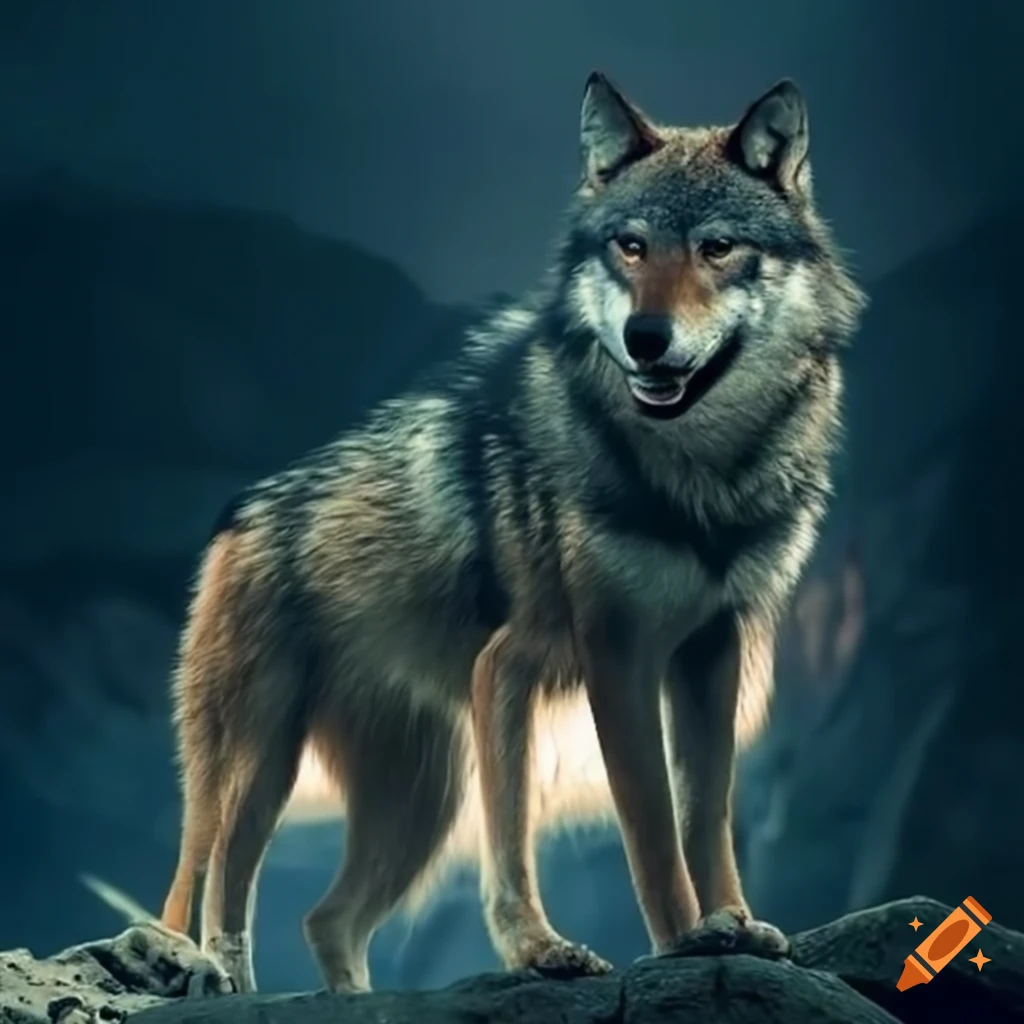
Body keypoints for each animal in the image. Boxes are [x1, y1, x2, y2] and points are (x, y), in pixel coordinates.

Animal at [159, 72, 865, 994]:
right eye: (630, 246)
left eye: (716, 248)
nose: (646, 339)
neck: (698, 480)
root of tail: (241, 513)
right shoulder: (580, 657)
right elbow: (643, 821)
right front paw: (675, 939)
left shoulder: (714, 650)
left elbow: (705, 817)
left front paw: (738, 926)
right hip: (256, 758)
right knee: (202, 883)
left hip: (419, 802)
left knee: (324, 918)